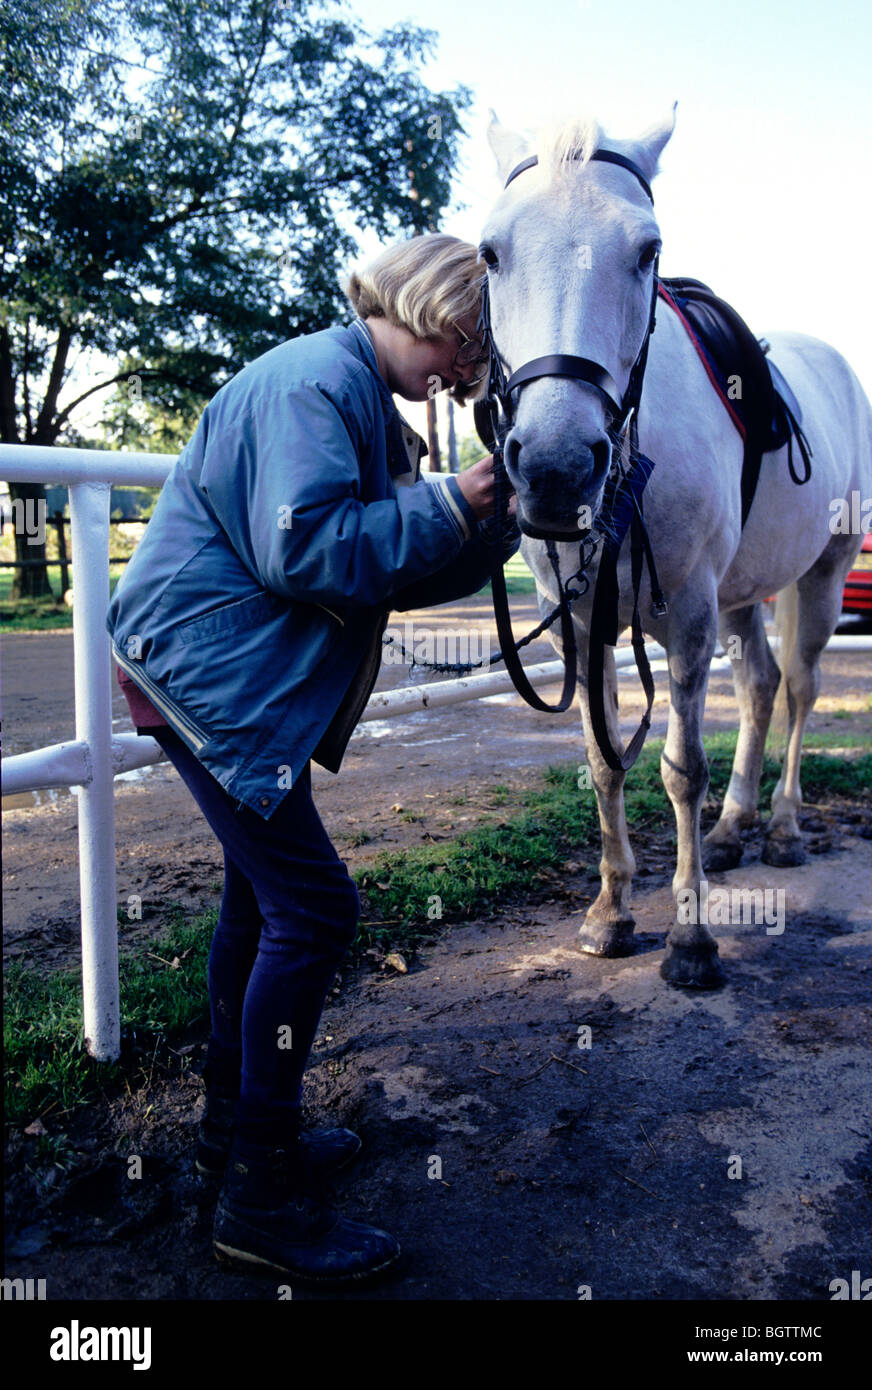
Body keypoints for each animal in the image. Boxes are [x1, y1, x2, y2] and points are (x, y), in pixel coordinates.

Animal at [479, 108, 872, 988]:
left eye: (647, 251)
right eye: (490, 252)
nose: (557, 469)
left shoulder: (691, 614)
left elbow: (681, 768)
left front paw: (691, 936)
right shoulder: (582, 624)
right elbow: (603, 761)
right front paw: (611, 911)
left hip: (823, 576)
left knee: (799, 689)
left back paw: (783, 826)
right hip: (743, 595)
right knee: (759, 686)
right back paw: (732, 830)